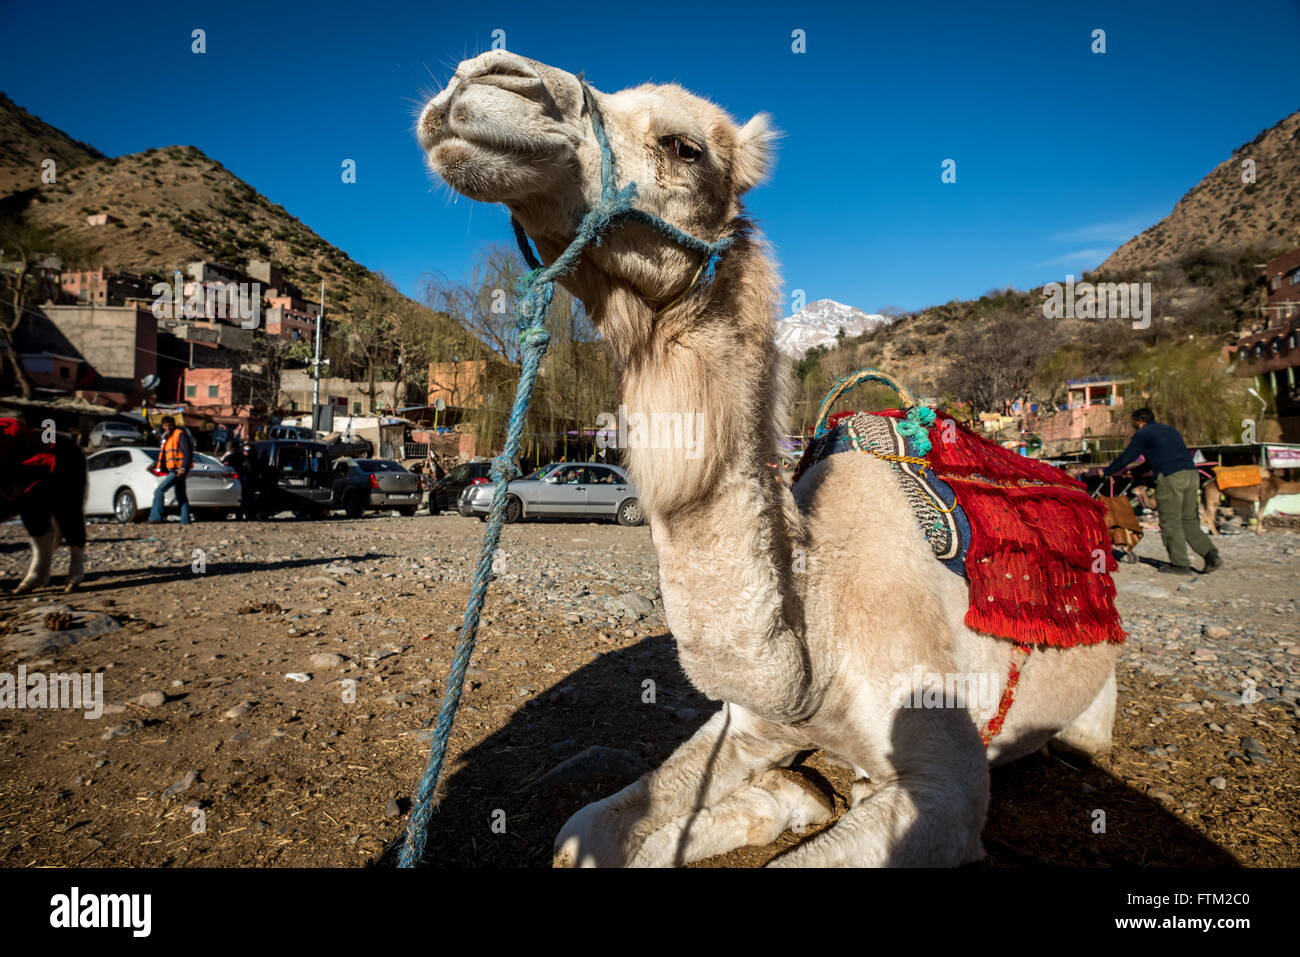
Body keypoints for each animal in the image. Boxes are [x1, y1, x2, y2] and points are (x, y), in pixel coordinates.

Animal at [417, 51, 1121, 866]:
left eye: (685, 146)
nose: (481, 80)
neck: (819, 645)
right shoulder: (748, 725)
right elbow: (586, 830)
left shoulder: (947, 785)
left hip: (1090, 713)